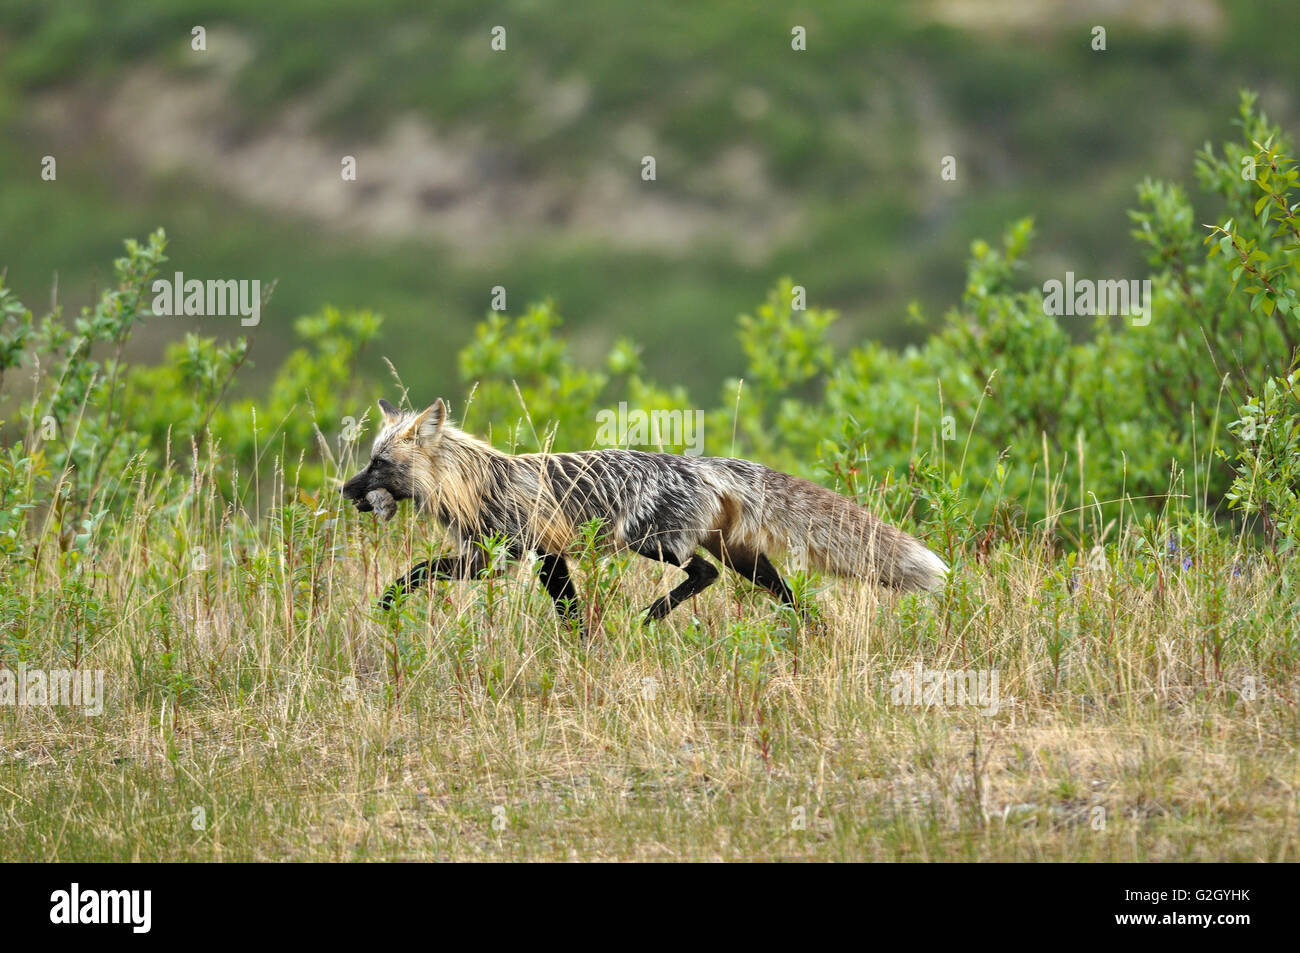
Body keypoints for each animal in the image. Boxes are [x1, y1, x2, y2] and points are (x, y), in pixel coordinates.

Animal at [342, 398, 948, 625]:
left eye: (377, 463)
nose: (345, 489)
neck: (473, 484)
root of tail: (701, 465)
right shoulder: (533, 557)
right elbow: (569, 610)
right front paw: (582, 646)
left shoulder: (516, 554)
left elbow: (423, 569)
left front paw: (389, 601)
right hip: (741, 555)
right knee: (782, 590)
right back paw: (809, 632)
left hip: (652, 543)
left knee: (703, 575)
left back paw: (652, 615)